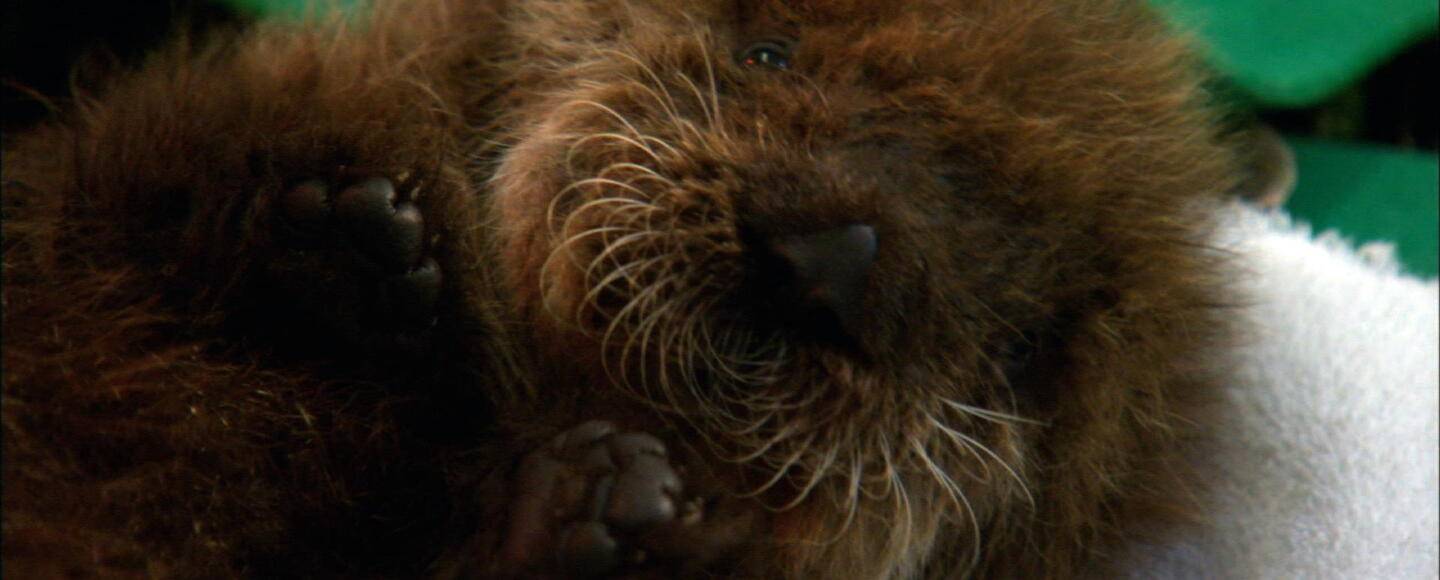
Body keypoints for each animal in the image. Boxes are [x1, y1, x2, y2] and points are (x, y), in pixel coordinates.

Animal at [1, 0, 1238, 577]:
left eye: (1023, 341)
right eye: (773, 54)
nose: (827, 262)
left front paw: (602, 509)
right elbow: (112, 186)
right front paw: (347, 252)